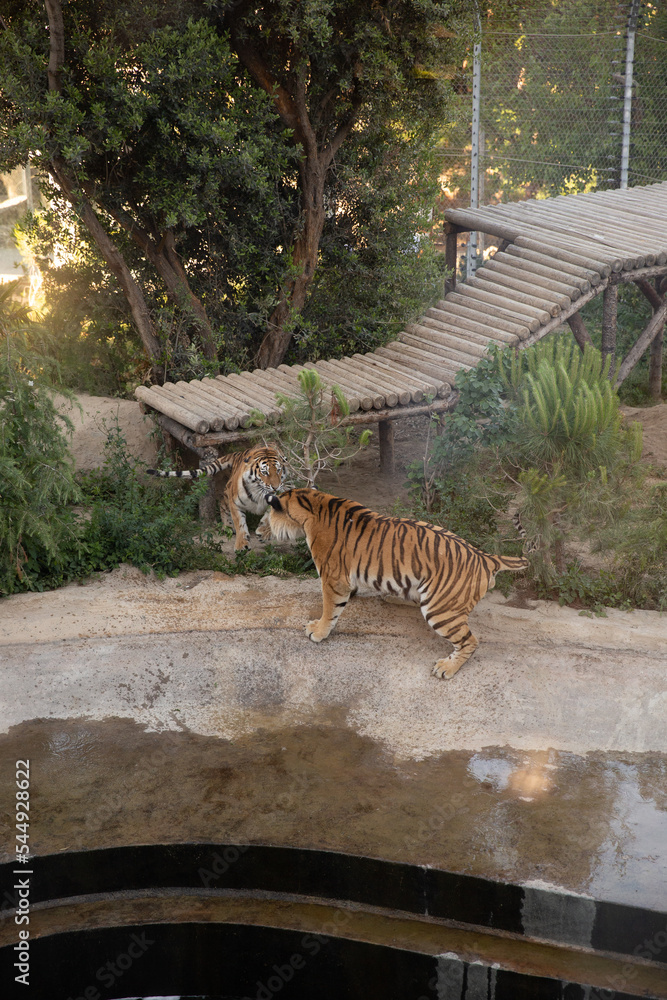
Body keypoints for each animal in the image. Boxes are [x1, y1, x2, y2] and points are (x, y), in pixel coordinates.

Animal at [147, 445, 286, 551]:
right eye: (265, 472)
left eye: (278, 470)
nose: (275, 487)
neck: (259, 493)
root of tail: (239, 453)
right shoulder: (235, 502)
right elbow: (240, 524)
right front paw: (241, 545)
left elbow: (269, 516)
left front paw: (263, 532)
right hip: (228, 491)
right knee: (222, 503)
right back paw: (228, 526)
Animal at [266, 488, 529, 679]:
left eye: (265, 520)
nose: (259, 533)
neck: (311, 502)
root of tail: (486, 557)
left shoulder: (333, 577)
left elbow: (330, 609)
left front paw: (318, 632)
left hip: (440, 610)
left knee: (470, 641)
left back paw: (446, 668)